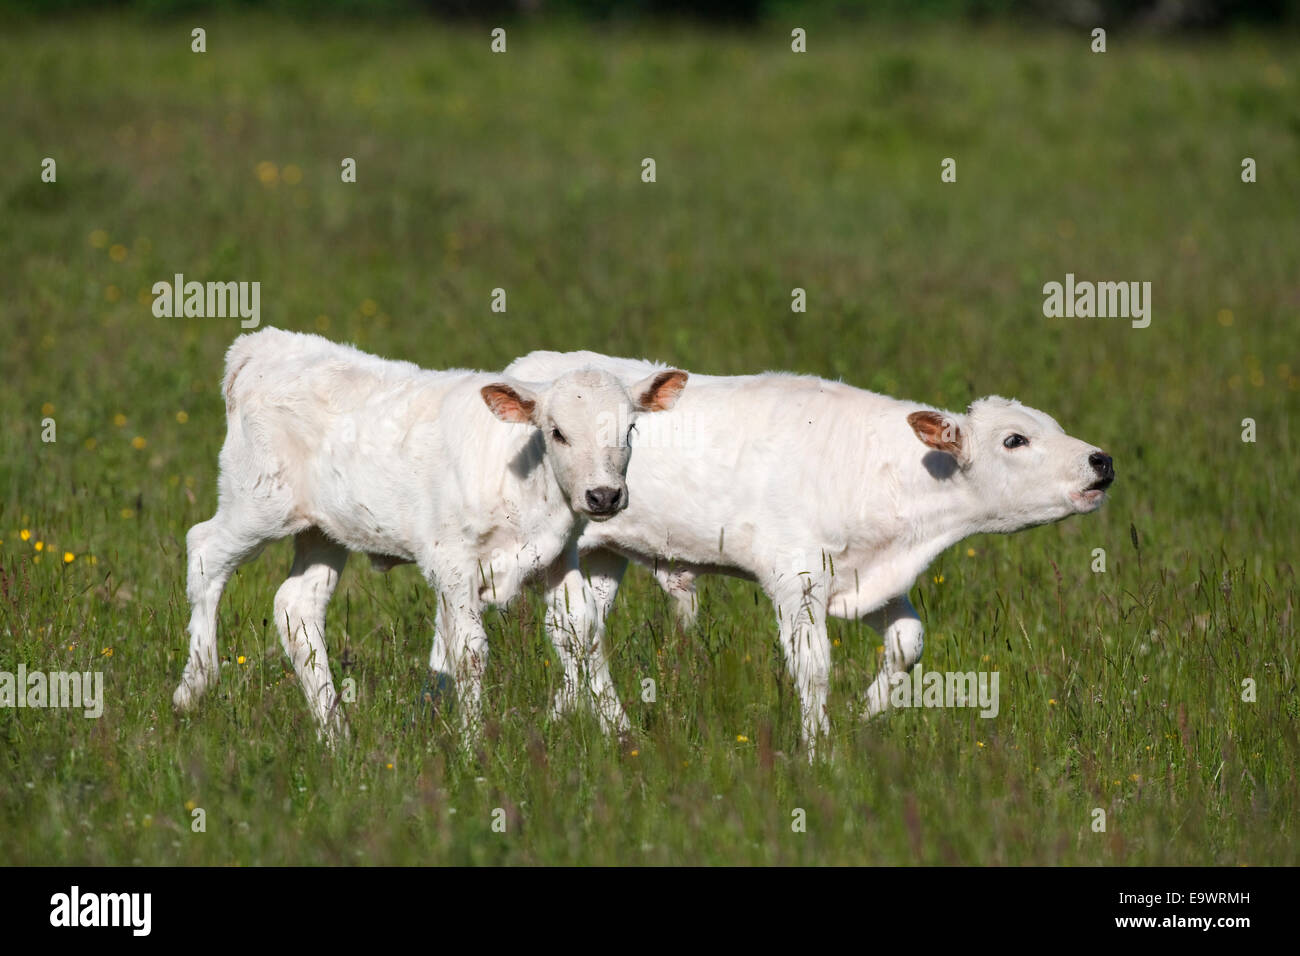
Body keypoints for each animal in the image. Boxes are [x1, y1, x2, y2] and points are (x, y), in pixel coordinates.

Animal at [172, 329, 687, 740]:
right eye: (557, 432)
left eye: (630, 429)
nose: (603, 496)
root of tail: (262, 344)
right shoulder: (450, 559)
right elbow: (470, 650)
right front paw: (474, 744)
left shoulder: (557, 556)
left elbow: (584, 632)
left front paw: (621, 735)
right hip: (256, 502)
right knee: (204, 551)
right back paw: (194, 686)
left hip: (324, 530)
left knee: (296, 606)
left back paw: (336, 734)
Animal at [506, 350, 1115, 755]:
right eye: (1014, 440)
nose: (1101, 460)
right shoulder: (794, 577)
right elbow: (814, 665)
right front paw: (820, 750)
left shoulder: (868, 579)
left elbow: (908, 641)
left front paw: (864, 715)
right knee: (573, 632)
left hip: (603, 553)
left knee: (580, 635)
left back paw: (566, 716)